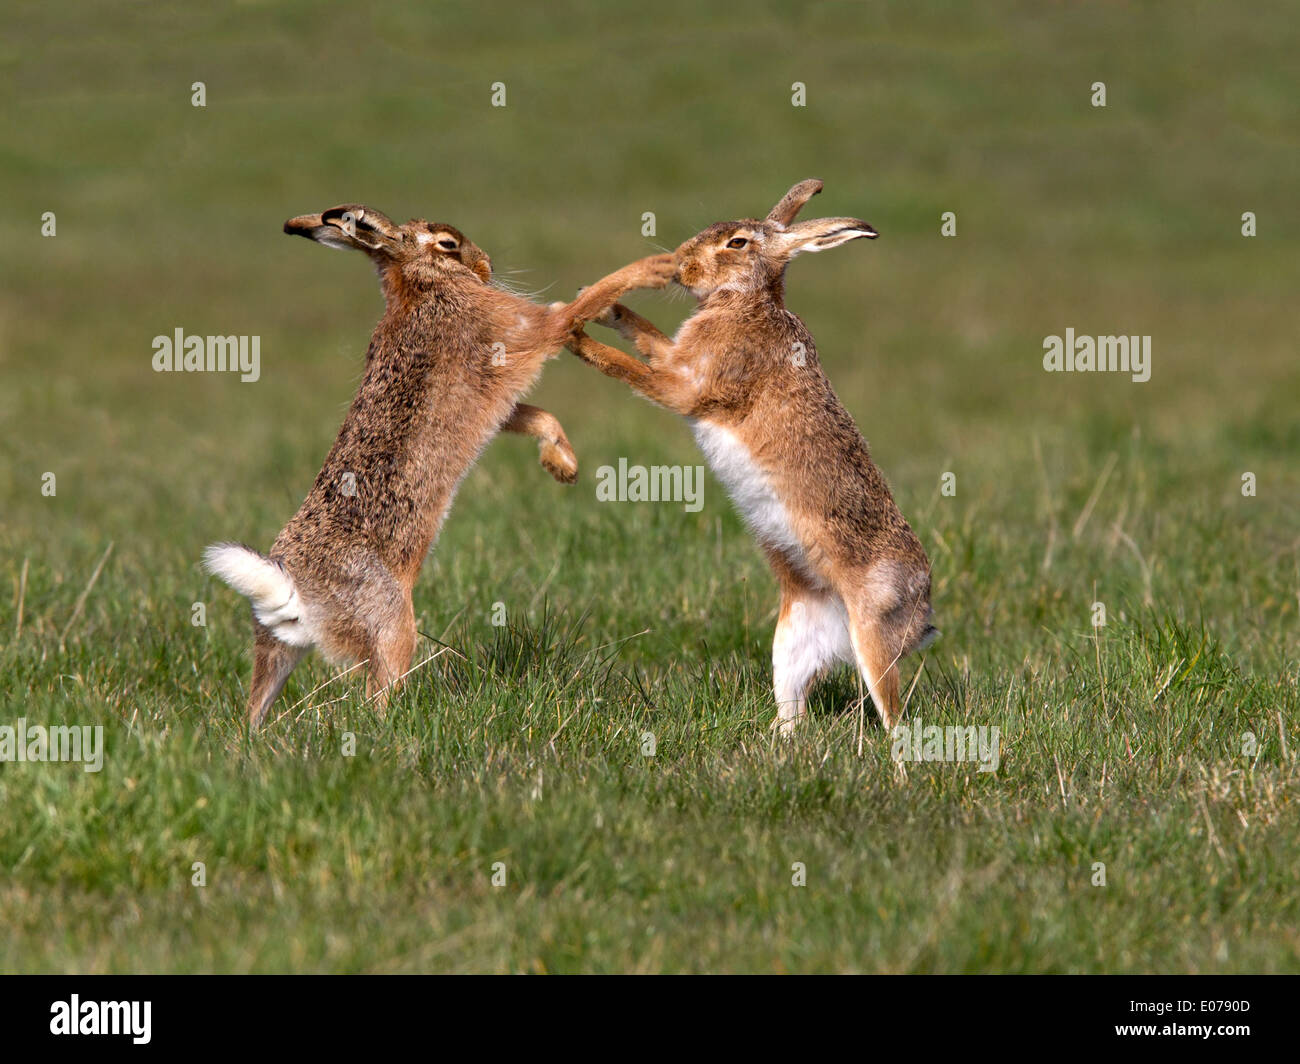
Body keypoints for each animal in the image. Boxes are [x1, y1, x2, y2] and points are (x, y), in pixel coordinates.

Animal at [205, 204, 676, 726]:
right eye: (449, 245)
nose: (487, 266)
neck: (422, 285)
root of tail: (294, 594)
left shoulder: (499, 399)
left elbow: (535, 416)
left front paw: (563, 467)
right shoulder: (523, 328)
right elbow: (582, 303)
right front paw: (657, 267)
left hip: (275, 649)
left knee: (258, 701)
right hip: (392, 628)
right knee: (378, 692)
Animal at [567, 180, 936, 737]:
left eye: (737, 243)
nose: (680, 265)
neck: (745, 302)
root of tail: (924, 610)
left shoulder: (687, 386)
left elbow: (631, 368)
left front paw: (577, 337)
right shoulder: (676, 359)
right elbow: (647, 335)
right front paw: (603, 306)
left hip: (874, 636)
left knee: (892, 711)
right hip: (793, 639)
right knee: (793, 700)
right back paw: (782, 740)